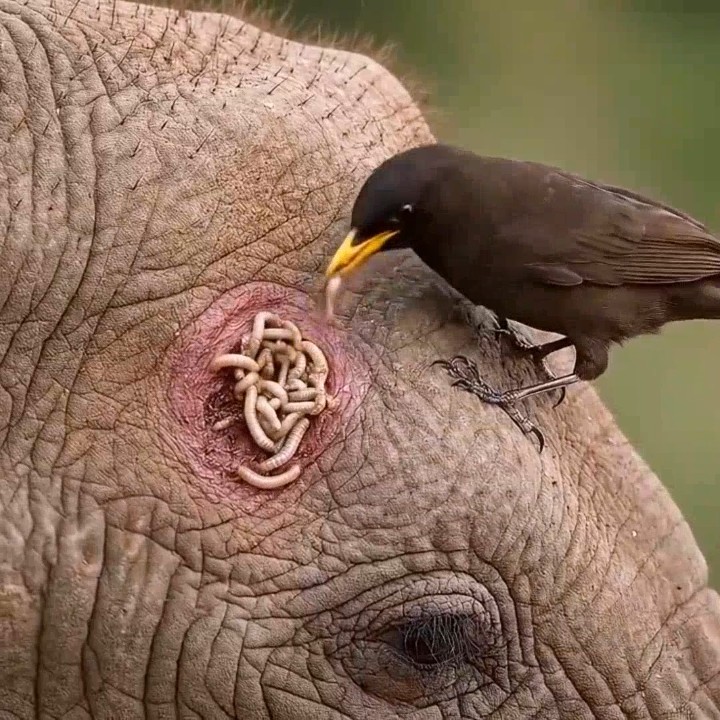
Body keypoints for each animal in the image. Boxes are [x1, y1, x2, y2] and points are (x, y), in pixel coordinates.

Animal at [1, 0, 719, 717]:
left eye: (399, 213)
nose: (340, 259)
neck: (470, 195)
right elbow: (556, 351)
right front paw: (509, 347)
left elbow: (578, 361)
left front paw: (496, 391)